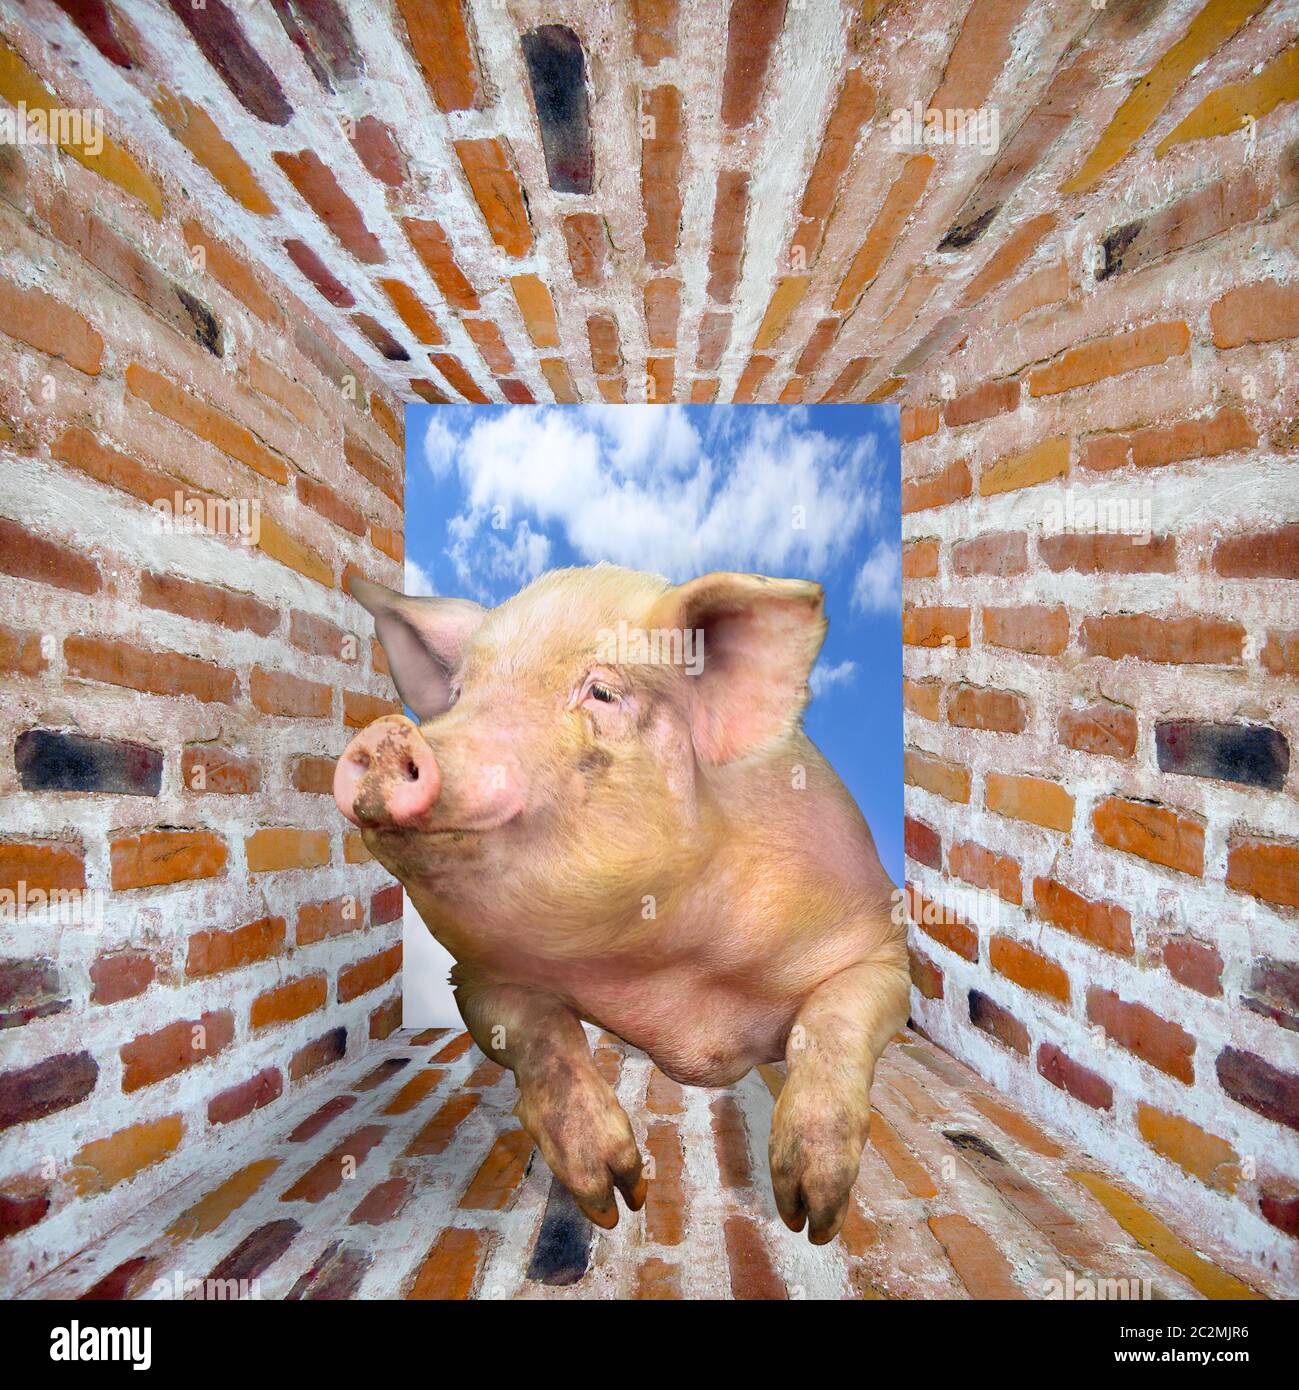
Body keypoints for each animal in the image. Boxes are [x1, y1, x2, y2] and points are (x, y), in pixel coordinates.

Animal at [334, 564, 908, 1245]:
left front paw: (812, 1221)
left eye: (603, 692)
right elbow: (541, 1035)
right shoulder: (475, 976)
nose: (386, 734)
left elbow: (833, 1020)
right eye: (458, 693)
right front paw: (619, 1202)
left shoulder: (880, 939)